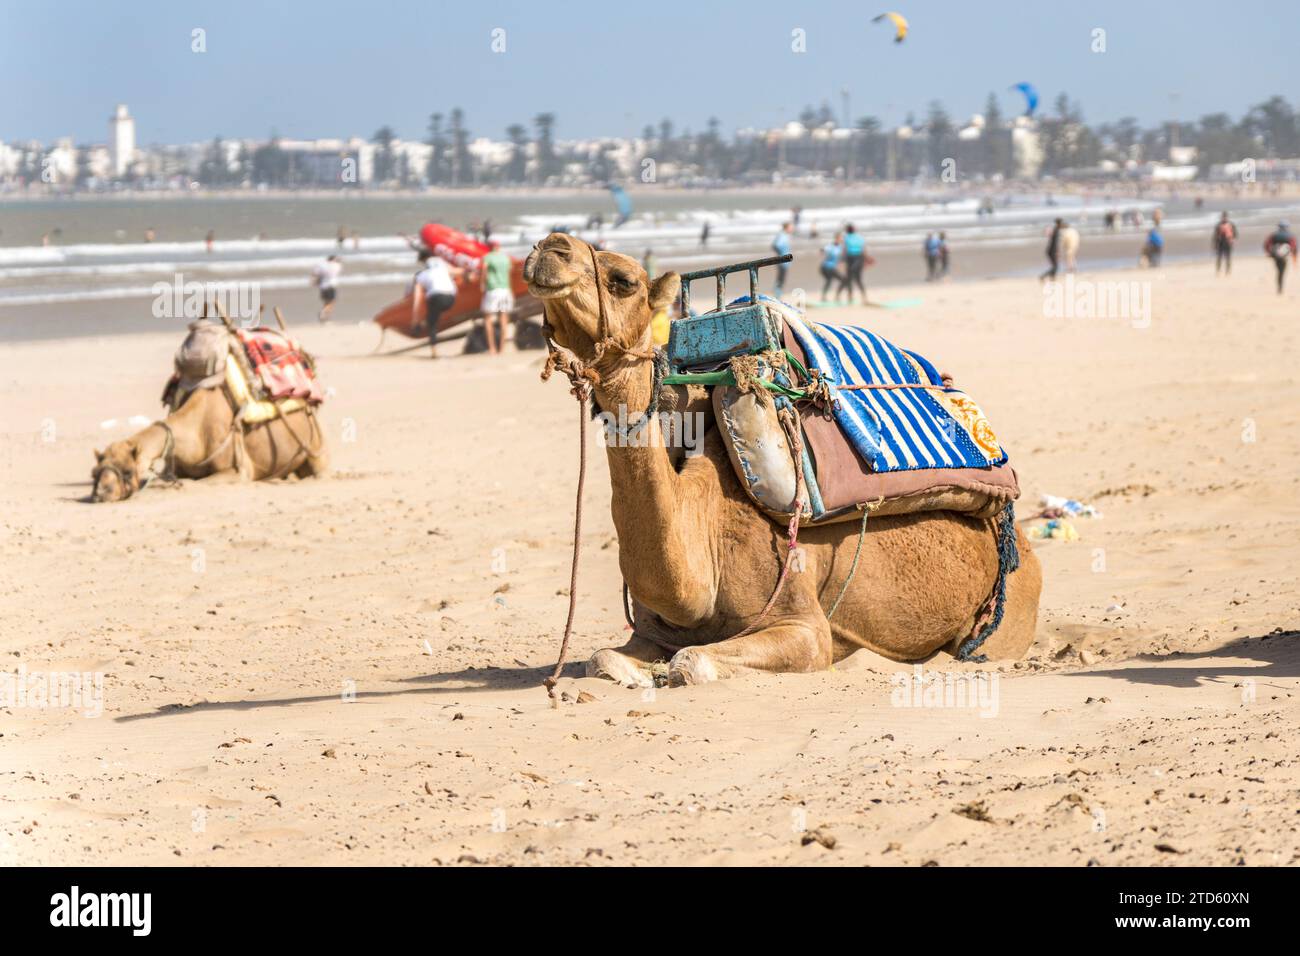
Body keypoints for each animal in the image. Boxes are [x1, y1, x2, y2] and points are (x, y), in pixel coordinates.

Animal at [91, 387, 327, 503]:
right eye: (94, 472)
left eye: (128, 471)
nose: (100, 494)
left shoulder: (239, 471)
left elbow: (196, 483)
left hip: (316, 447)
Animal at [524, 232, 1042, 687]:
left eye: (624, 280)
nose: (549, 246)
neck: (703, 524)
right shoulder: (650, 629)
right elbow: (603, 659)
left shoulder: (804, 625)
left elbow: (692, 660)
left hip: (1008, 618)